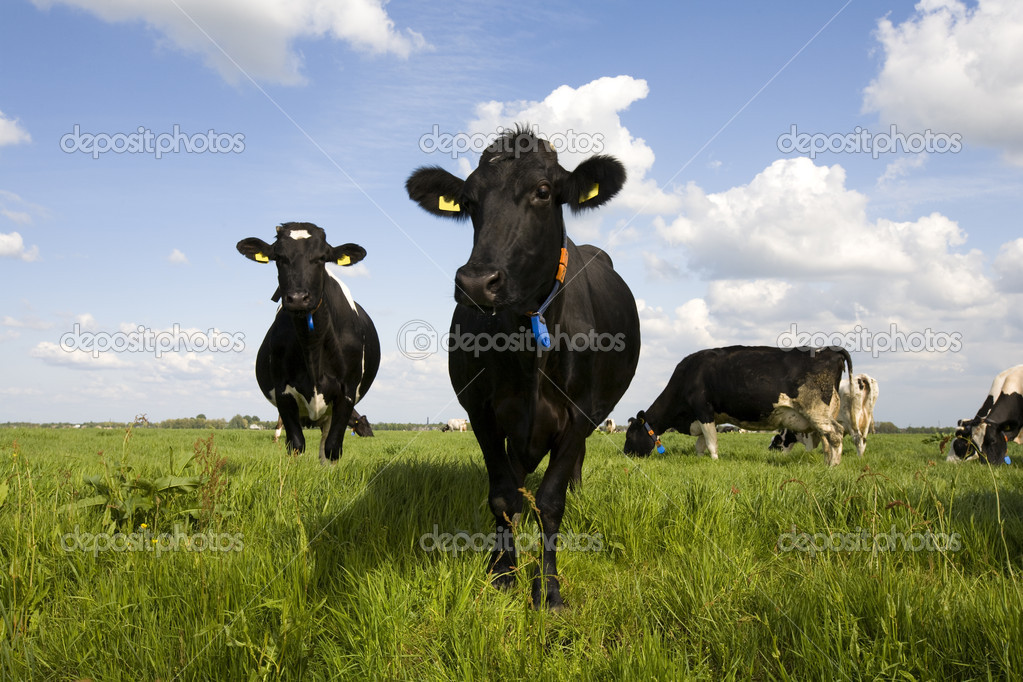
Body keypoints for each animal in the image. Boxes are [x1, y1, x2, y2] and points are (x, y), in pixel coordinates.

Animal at [237, 222, 380, 463]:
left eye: (322, 257)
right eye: (279, 257)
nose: (297, 298)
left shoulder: (347, 392)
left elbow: (332, 448)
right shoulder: (283, 392)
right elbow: (295, 444)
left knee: (324, 444)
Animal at [406, 127, 640, 609]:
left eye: (544, 191)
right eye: (468, 201)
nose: (477, 283)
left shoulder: (580, 413)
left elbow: (550, 503)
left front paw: (548, 588)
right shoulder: (480, 411)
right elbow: (502, 496)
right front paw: (501, 572)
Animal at [624, 345, 851, 466]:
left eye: (629, 435)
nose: (625, 454)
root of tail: (831, 350)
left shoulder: (703, 410)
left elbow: (711, 442)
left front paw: (715, 461)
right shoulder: (708, 417)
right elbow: (700, 443)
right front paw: (700, 459)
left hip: (816, 410)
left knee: (835, 434)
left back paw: (833, 466)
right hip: (824, 413)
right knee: (827, 439)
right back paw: (827, 462)